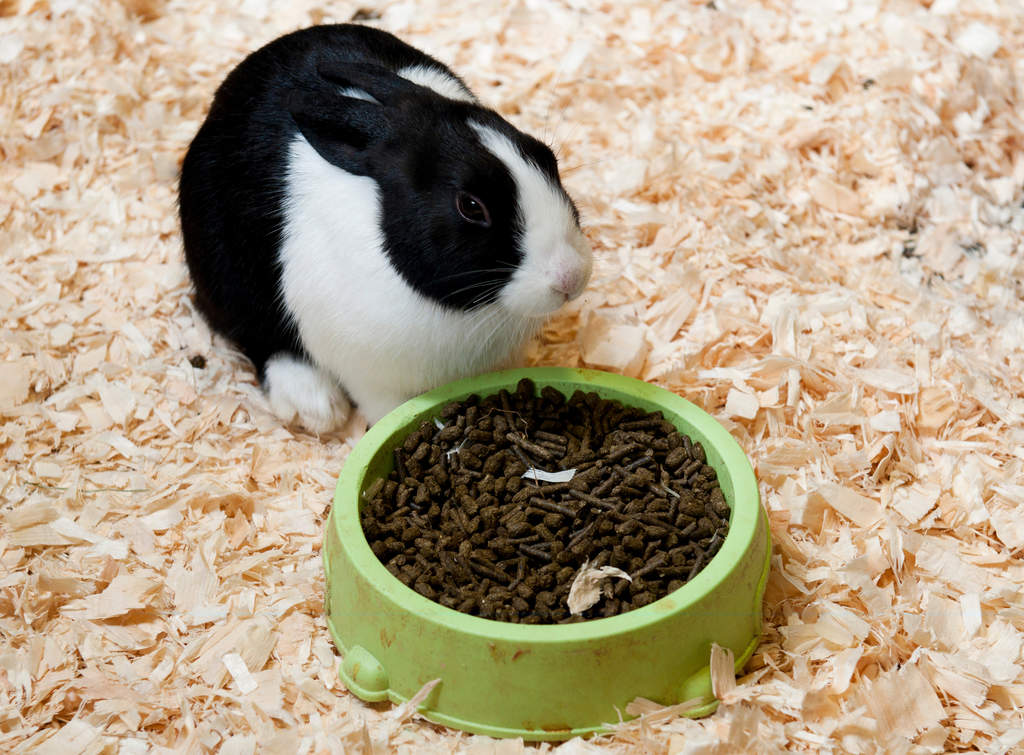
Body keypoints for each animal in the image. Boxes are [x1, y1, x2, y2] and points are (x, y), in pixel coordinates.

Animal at [179, 24, 592, 431]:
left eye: (546, 156)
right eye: (471, 206)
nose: (570, 277)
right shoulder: (370, 378)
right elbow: (387, 410)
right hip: (222, 270)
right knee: (251, 333)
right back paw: (316, 408)